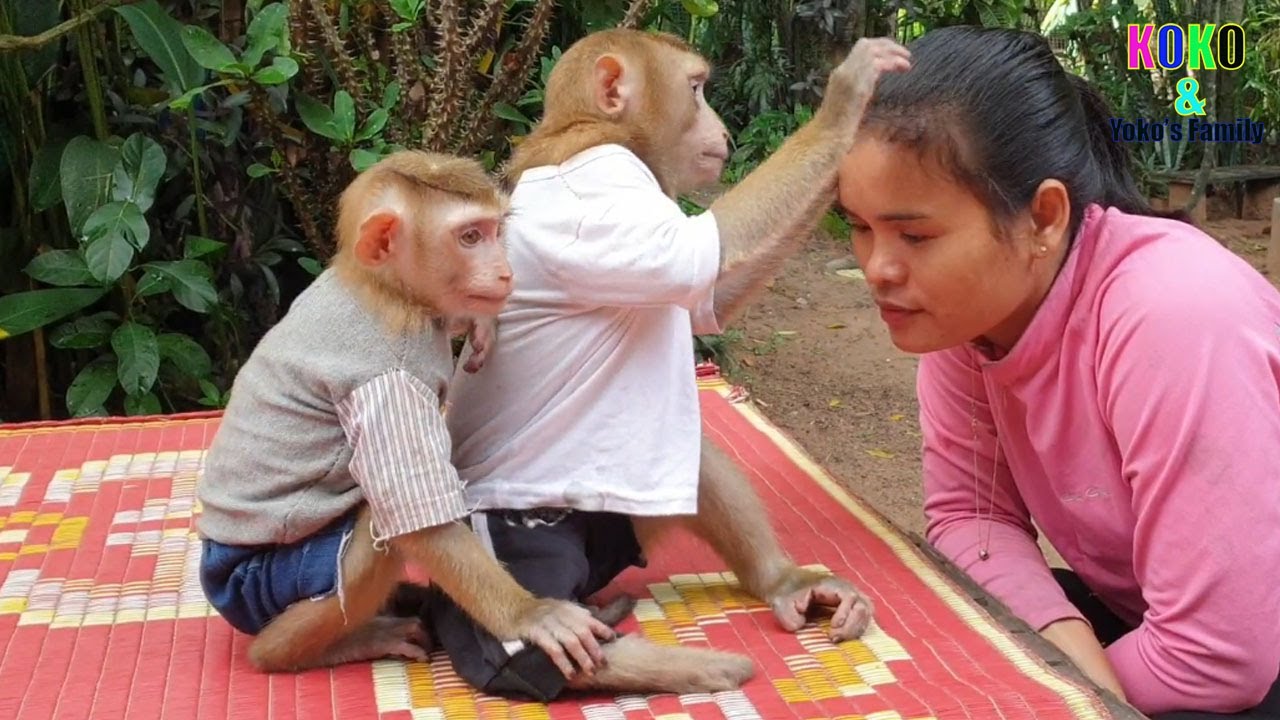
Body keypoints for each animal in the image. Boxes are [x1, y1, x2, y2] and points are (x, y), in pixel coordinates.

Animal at [193, 150, 617, 677]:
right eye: (470, 237)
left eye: (495, 231)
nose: (504, 271)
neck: (388, 291)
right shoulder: (388, 381)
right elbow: (420, 520)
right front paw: (529, 615)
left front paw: (479, 323)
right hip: (262, 587)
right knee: (379, 528)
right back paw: (300, 649)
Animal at [434, 30, 912, 701]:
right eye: (695, 88)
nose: (723, 127)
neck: (581, 131)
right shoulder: (610, 183)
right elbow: (698, 250)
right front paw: (847, 102)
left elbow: (705, 296)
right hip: (505, 544)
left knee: (687, 453)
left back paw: (778, 582)